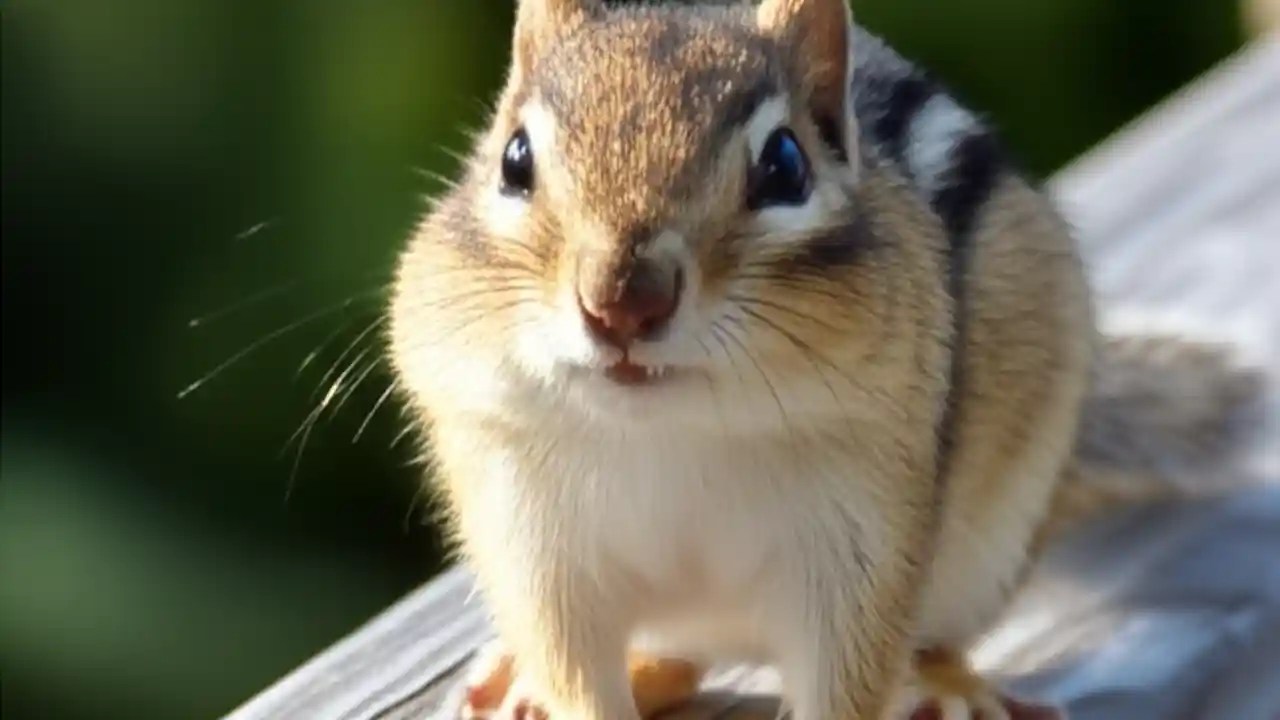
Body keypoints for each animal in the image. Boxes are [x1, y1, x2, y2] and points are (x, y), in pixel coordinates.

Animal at [388, 1, 1258, 718]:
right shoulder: (542, 554)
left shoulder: (857, 554)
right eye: (515, 160)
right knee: (680, 658)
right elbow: (577, 678)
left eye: (784, 165)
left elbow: (850, 679)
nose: (623, 301)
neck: (670, 432)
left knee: (927, 639)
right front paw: (557, 687)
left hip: (990, 550)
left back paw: (951, 687)